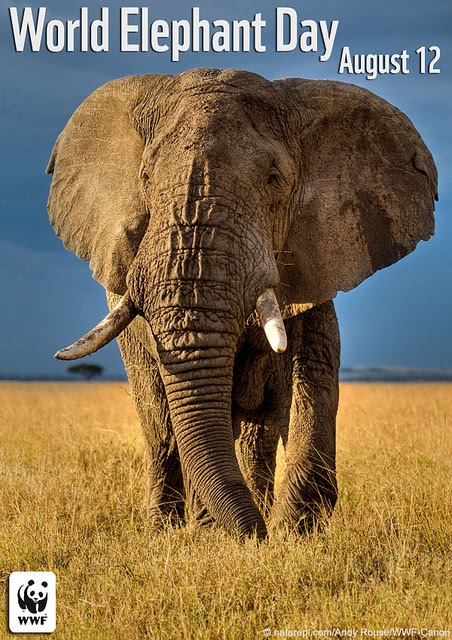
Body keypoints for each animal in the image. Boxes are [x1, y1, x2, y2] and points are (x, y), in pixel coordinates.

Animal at [46, 68, 437, 540]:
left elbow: (310, 373)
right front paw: (223, 533)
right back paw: (170, 528)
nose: (258, 535)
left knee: (252, 431)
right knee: (161, 419)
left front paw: (293, 534)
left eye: (273, 178)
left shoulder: (316, 254)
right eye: (146, 178)